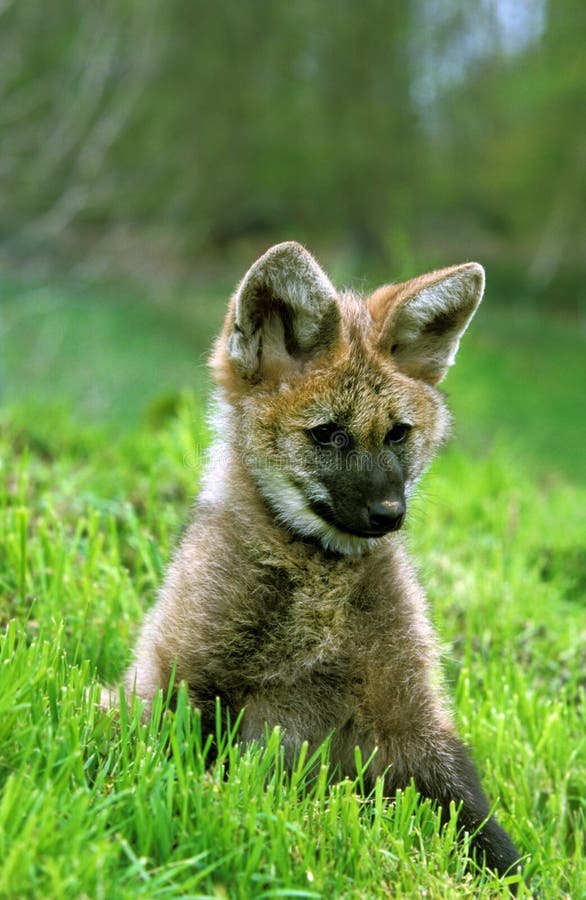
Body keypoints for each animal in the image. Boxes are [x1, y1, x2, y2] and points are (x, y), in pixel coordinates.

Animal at [121, 241, 522, 881]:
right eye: (329, 435)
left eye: (398, 434)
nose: (389, 514)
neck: (319, 593)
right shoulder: (193, 681)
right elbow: (198, 781)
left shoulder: (411, 716)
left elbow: (481, 829)